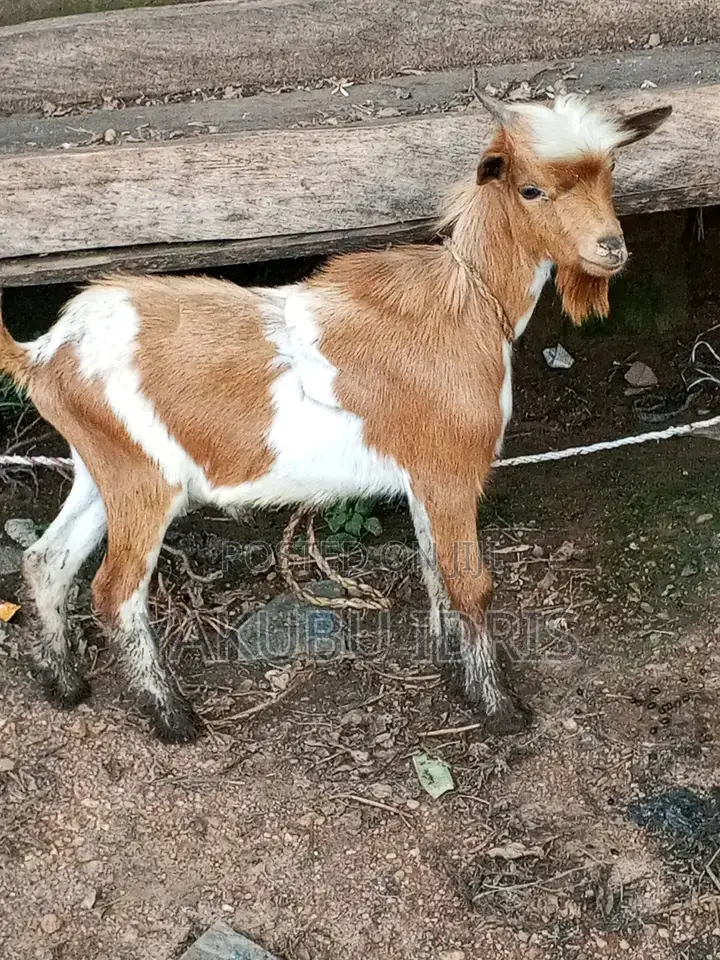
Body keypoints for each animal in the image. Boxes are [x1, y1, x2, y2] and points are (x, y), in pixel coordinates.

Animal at [0, 94, 670, 742]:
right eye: (531, 189)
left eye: (610, 173)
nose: (611, 248)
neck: (468, 303)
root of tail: (47, 350)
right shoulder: (452, 472)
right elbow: (469, 583)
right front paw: (499, 708)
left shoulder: (423, 479)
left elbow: (435, 572)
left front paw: (454, 676)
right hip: (144, 481)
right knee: (115, 592)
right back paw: (171, 717)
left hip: (101, 467)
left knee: (47, 560)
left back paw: (63, 683)